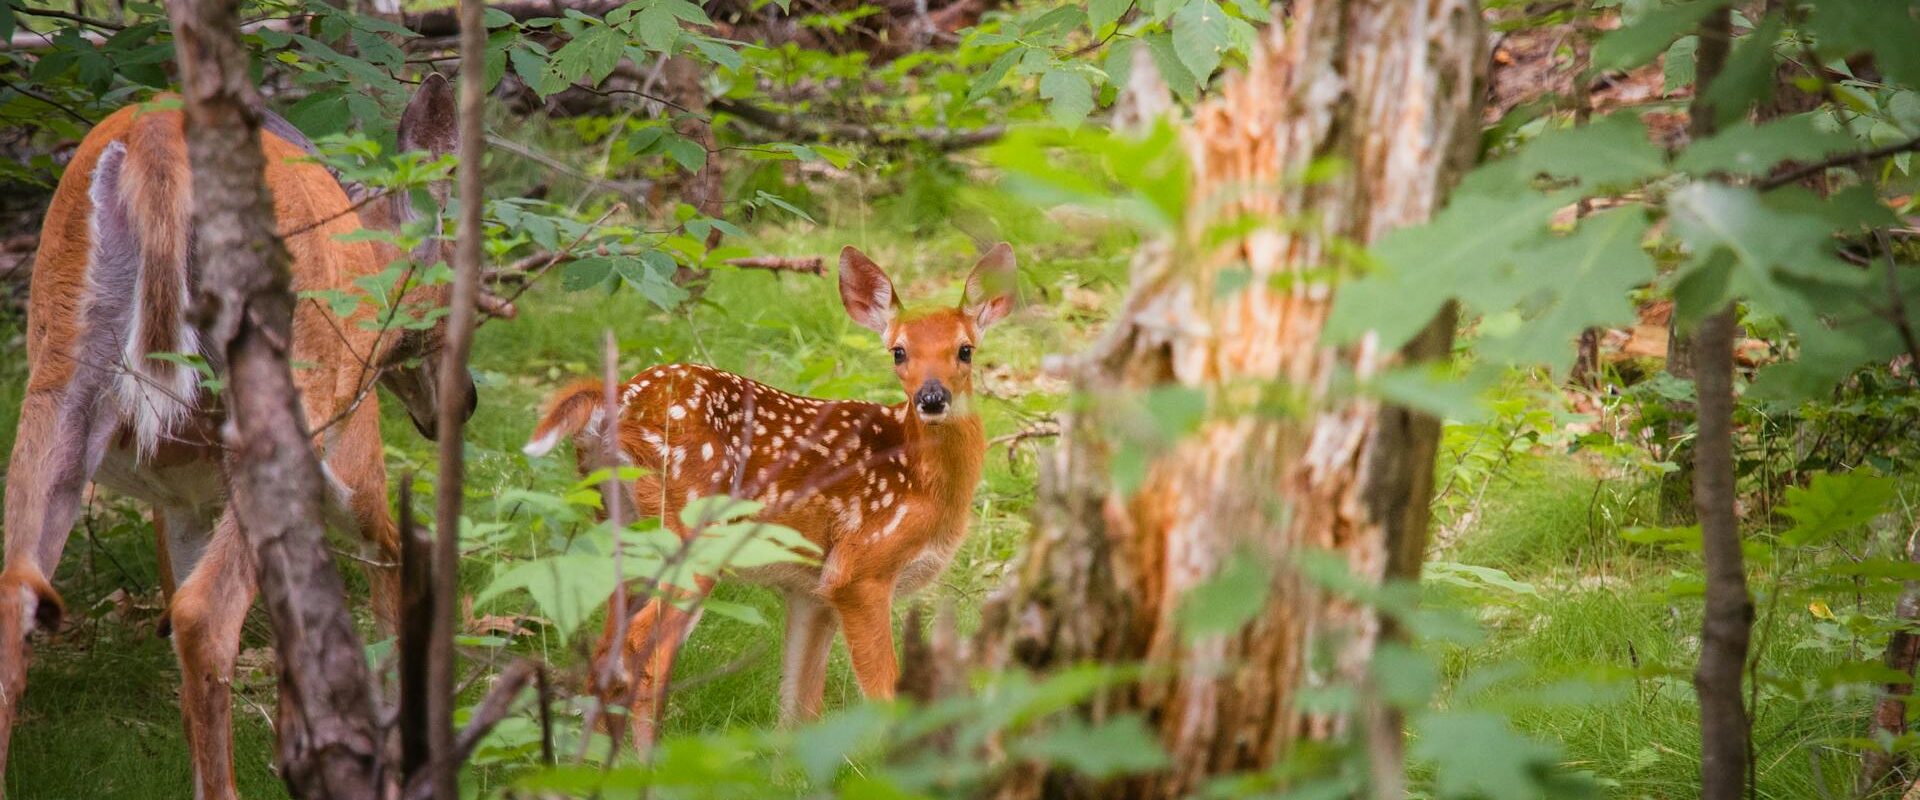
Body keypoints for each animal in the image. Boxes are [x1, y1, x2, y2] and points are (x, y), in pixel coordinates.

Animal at [0, 75, 513, 800]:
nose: (462, 402)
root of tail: (155, 136)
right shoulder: (353, 452)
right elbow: (391, 563)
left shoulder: (181, 497)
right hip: (286, 394)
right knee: (204, 617)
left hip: (58, 376)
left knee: (17, 599)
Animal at [522, 243, 1018, 750]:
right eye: (899, 351)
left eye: (965, 350)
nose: (931, 398)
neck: (922, 482)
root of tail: (614, 403)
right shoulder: (861, 568)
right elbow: (886, 696)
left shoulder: (811, 591)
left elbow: (798, 712)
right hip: (691, 533)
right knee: (641, 657)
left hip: (620, 525)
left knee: (603, 652)